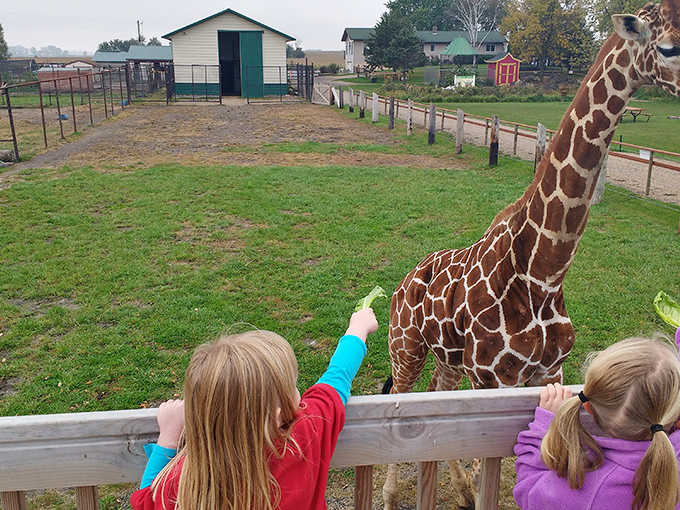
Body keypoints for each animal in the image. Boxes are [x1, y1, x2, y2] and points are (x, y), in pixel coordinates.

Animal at [382, 2, 680, 508]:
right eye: (668, 47)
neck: (543, 272)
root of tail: (403, 283)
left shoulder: (545, 375)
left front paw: (470, 491)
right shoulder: (492, 379)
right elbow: (487, 470)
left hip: (447, 359)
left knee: (437, 395)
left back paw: (458, 490)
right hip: (406, 349)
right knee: (400, 401)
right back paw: (387, 494)